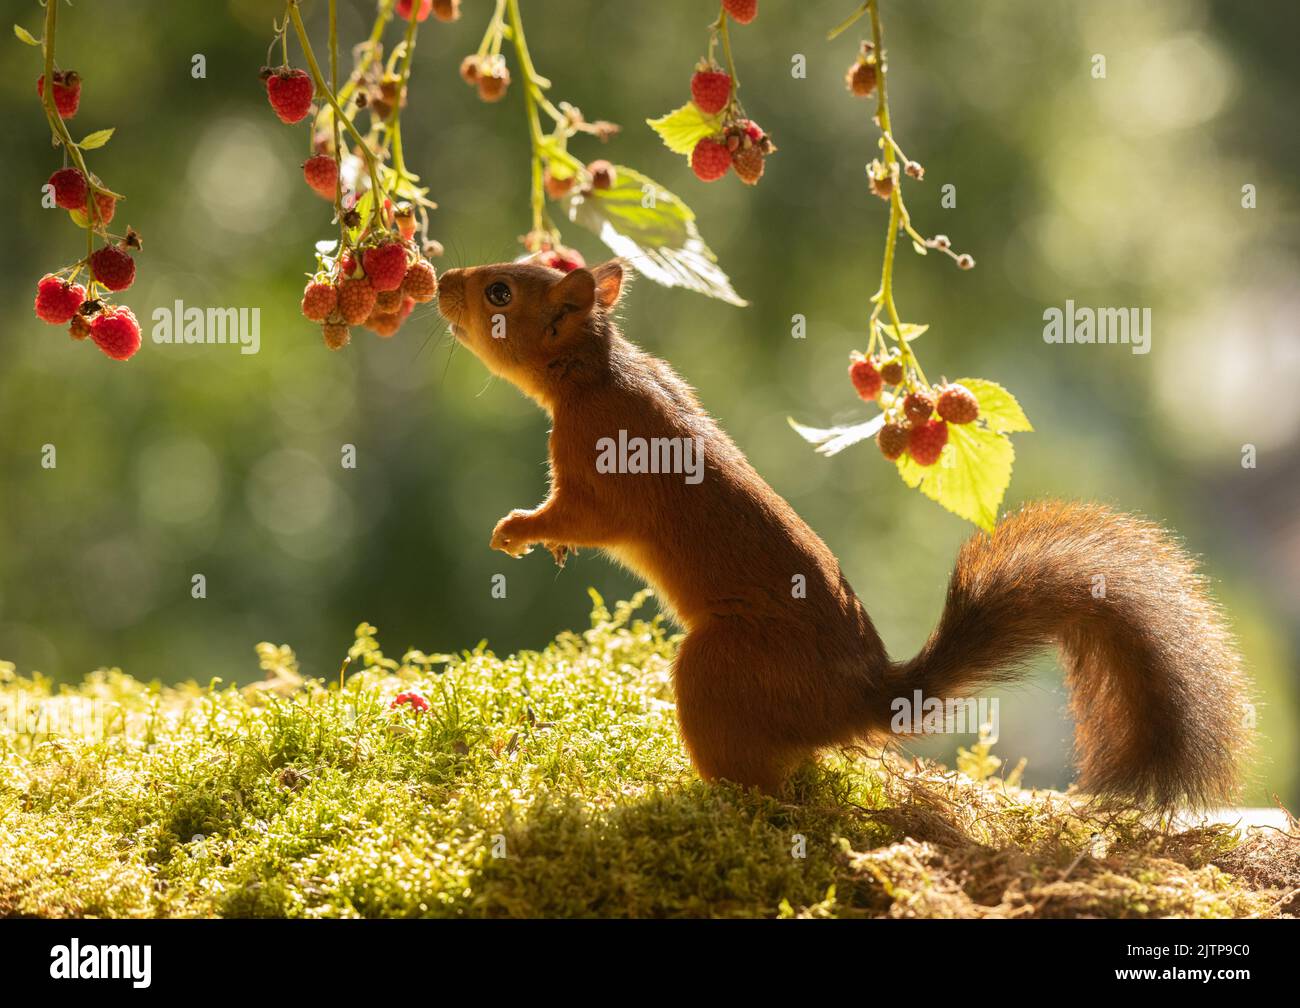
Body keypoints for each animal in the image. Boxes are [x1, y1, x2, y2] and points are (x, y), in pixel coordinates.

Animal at [436, 258, 1251, 809]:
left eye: (500, 292)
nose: (442, 279)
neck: (593, 371)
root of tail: (854, 701)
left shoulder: (599, 468)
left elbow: (578, 514)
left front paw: (517, 530)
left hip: (720, 665)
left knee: (760, 787)